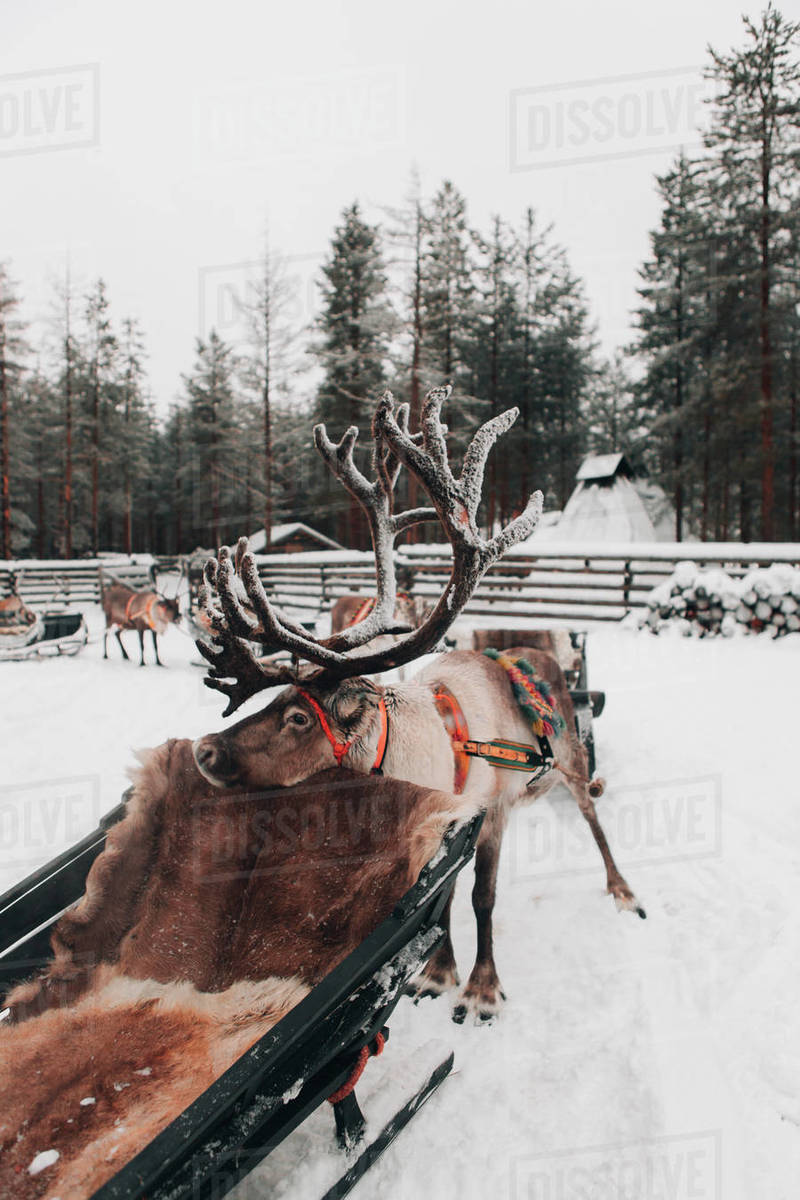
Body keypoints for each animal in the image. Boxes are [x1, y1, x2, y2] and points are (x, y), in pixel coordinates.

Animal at [192, 386, 644, 1023]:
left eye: (300, 717)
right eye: (278, 697)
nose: (204, 751)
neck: (426, 757)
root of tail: (540, 650)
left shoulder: (491, 812)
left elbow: (482, 896)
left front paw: (481, 988)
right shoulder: (439, 831)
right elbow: (445, 897)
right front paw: (437, 973)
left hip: (575, 761)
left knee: (592, 816)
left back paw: (623, 891)